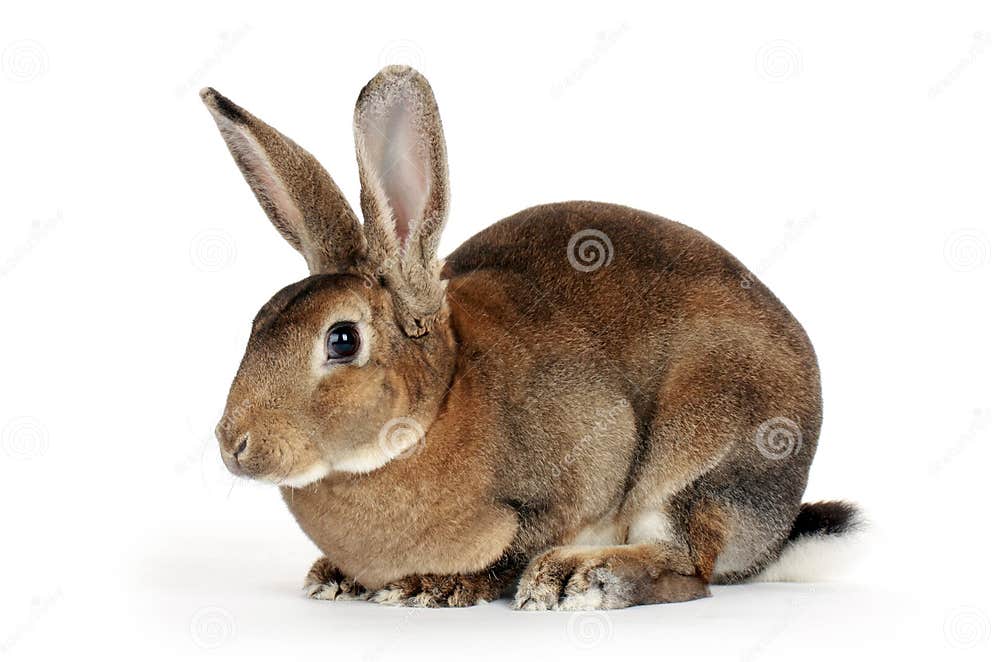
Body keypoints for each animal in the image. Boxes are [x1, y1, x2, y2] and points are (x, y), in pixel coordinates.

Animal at [201, 65, 862, 610]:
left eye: (341, 340)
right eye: (258, 320)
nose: (235, 445)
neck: (436, 407)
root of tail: (774, 537)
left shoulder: (586, 459)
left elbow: (518, 545)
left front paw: (434, 586)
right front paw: (337, 576)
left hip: (704, 451)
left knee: (688, 569)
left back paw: (581, 578)